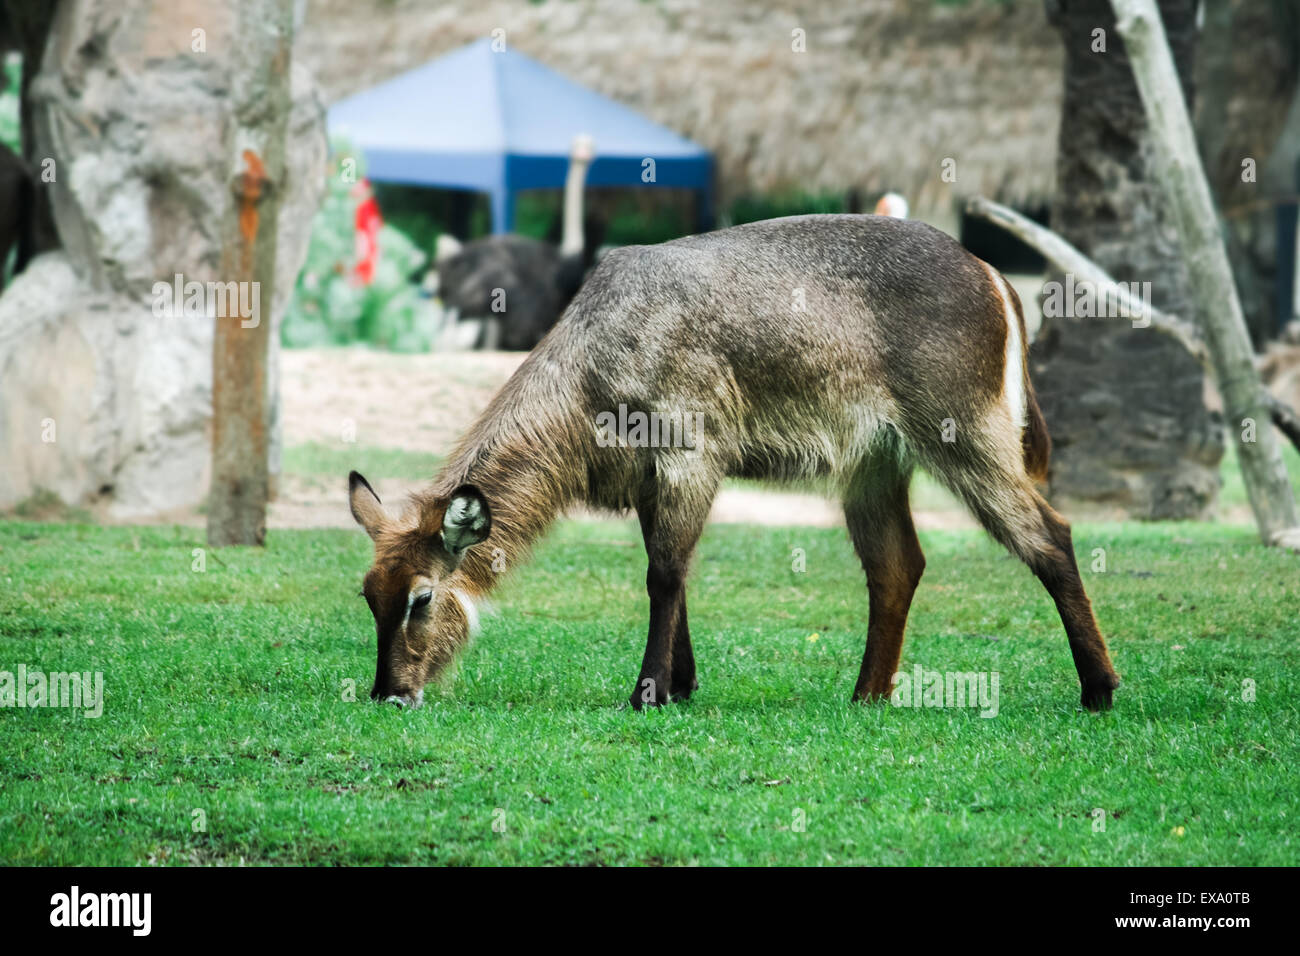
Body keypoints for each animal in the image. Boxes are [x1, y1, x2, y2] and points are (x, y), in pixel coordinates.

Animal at [347, 214, 1120, 713]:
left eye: (421, 598)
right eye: (369, 595)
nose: (390, 694)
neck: (593, 365)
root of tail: (998, 279)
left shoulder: (691, 454)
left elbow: (663, 575)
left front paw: (648, 693)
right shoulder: (647, 480)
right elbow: (674, 576)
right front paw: (682, 684)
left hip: (965, 435)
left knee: (1051, 535)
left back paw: (1100, 689)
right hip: (875, 462)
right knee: (898, 566)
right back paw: (867, 695)